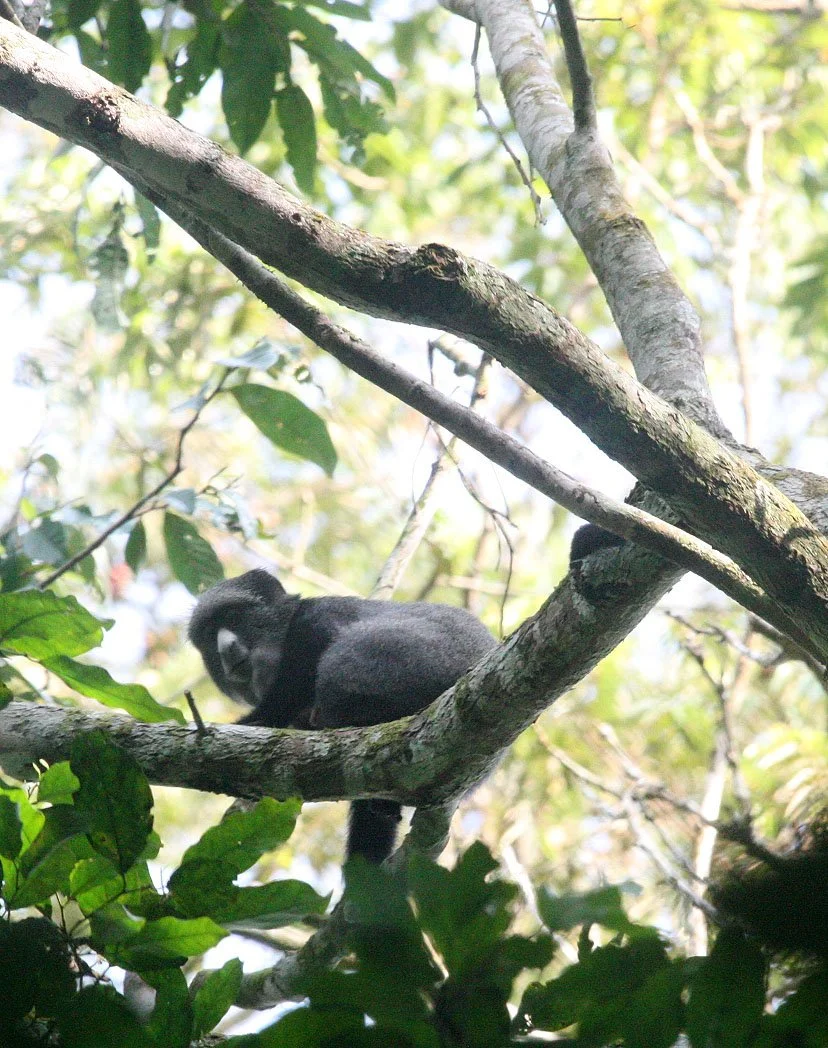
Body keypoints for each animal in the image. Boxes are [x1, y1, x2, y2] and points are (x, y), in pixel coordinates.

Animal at [189, 569, 496, 864]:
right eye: (209, 636)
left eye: (232, 616)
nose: (225, 649)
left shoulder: (320, 613)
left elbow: (305, 655)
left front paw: (256, 719)